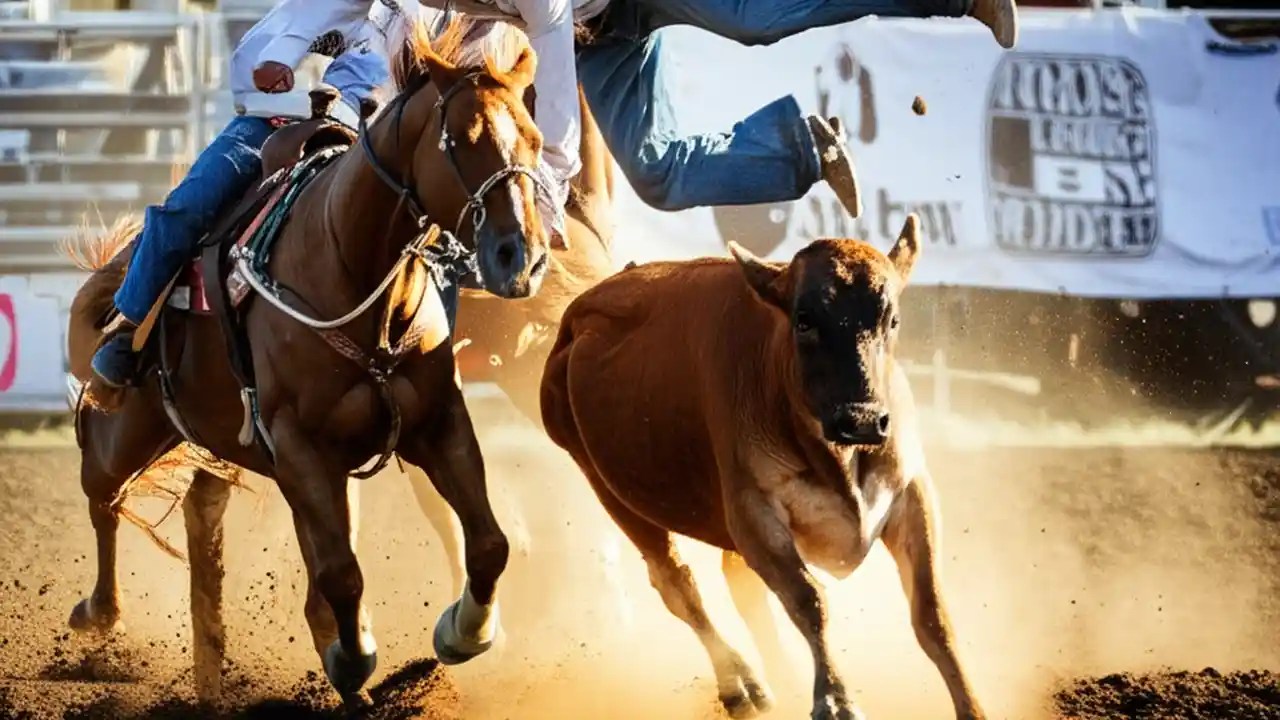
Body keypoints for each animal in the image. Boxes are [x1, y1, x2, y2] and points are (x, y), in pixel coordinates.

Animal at [61, 17, 549, 707]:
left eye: (534, 139)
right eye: (462, 139)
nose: (522, 259)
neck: (350, 266)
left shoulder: (437, 422)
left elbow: (488, 543)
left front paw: (462, 632)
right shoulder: (297, 444)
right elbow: (342, 573)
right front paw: (352, 658)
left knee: (189, 510)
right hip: (128, 427)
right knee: (102, 493)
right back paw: (99, 613)